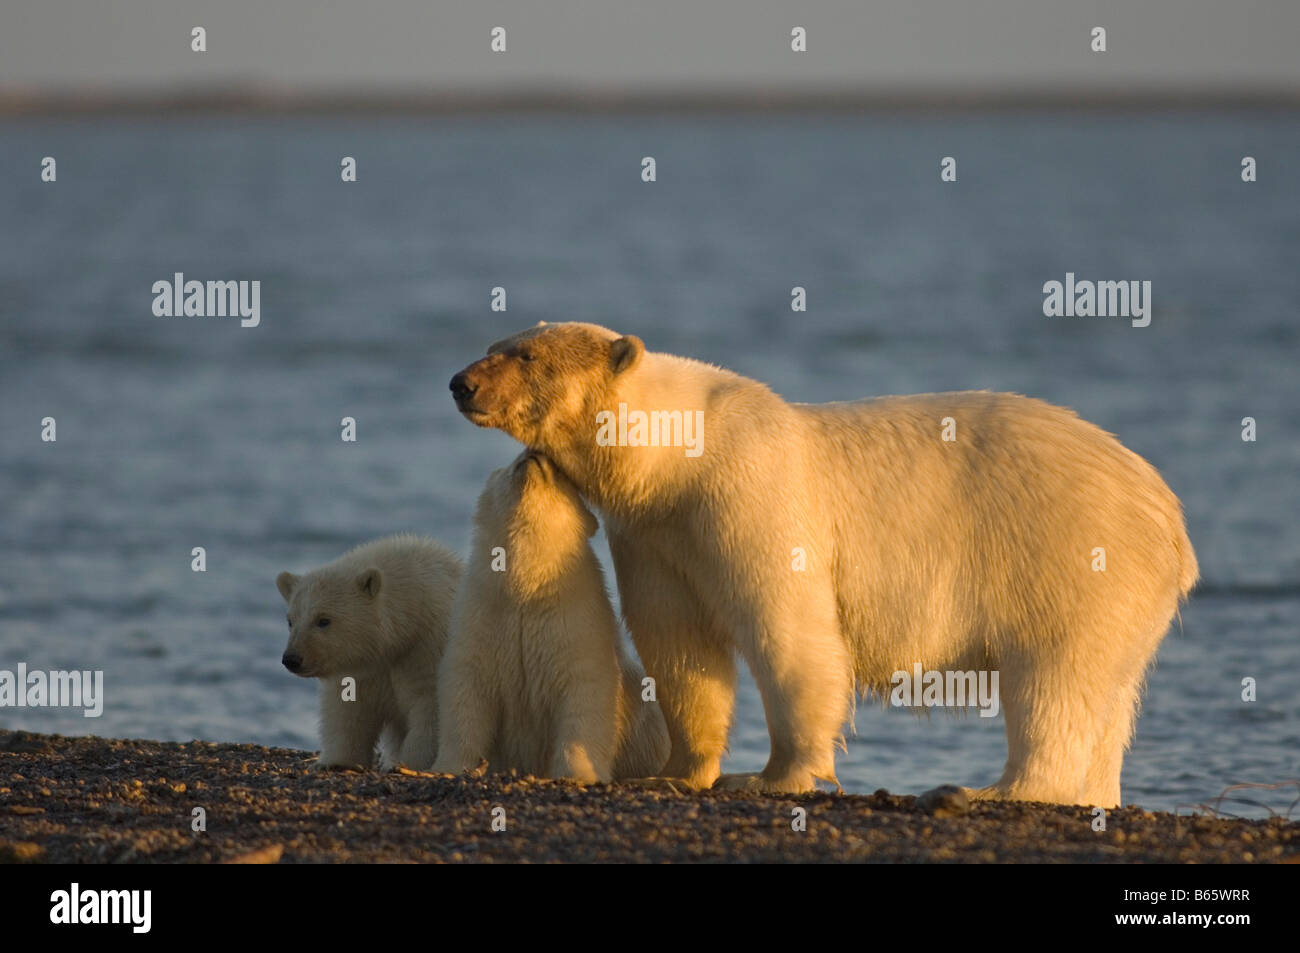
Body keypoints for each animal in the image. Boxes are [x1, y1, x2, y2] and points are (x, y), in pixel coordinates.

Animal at [276, 534, 462, 771]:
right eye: (290, 621)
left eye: (323, 620)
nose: (292, 658)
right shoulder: (363, 668)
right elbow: (347, 708)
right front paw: (334, 761)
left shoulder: (428, 649)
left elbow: (430, 709)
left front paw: (409, 763)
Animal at [434, 449, 671, 784]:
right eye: (507, 465)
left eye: (561, 472)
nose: (532, 452)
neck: (526, 586)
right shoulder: (482, 613)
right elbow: (465, 691)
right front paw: (447, 766)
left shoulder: (576, 623)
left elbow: (585, 696)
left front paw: (579, 772)